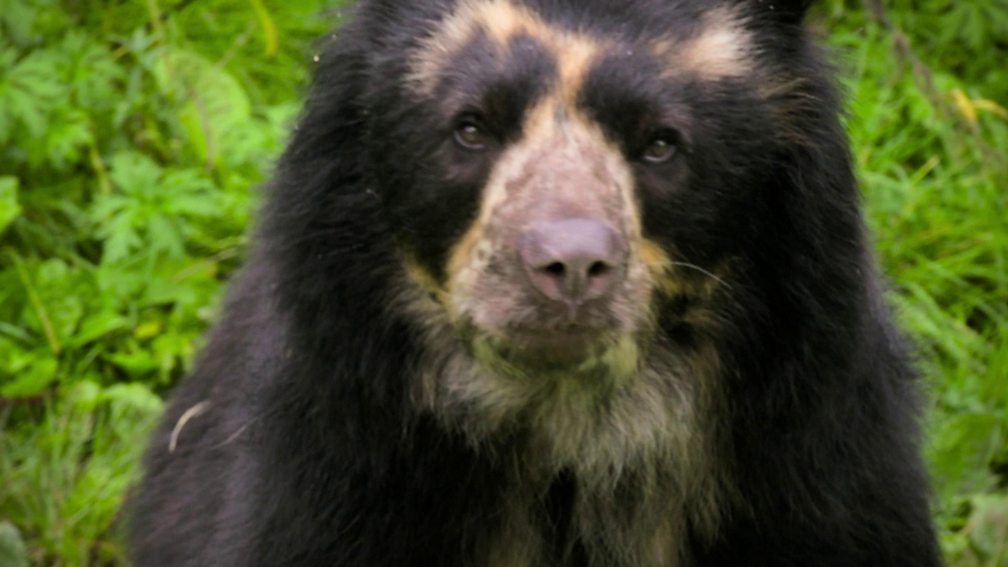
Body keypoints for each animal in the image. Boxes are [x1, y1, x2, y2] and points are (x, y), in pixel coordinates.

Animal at [127, 0, 942, 565]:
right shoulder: (338, 468)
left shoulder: (816, 468)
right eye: (470, 128)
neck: (577, 428)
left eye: (661, 143)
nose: (569, 264)